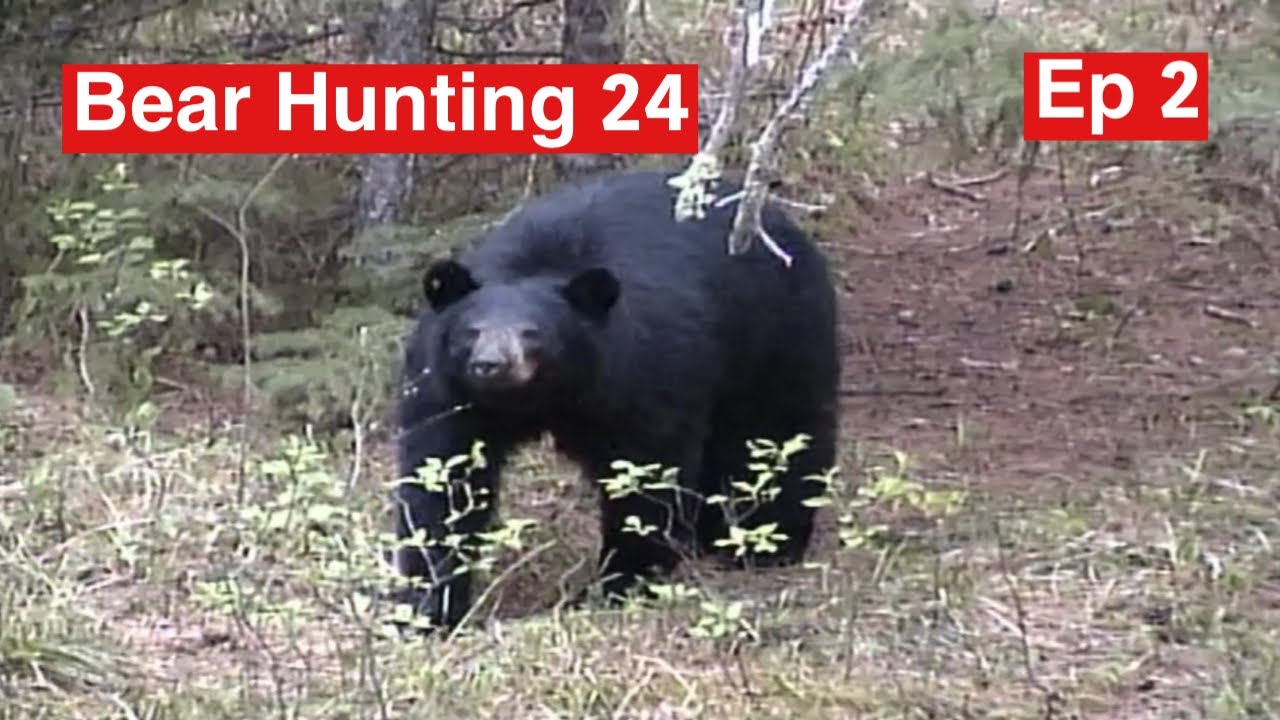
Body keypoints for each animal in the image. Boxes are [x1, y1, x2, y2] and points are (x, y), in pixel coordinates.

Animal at [390, 167, 841, 631]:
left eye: (533, 334)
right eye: (471, 332)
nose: (490, 365)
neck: (544, 396)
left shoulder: (642, 375)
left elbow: (645, 470)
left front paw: (623, 580)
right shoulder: (448, 393)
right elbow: (441, 480)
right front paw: (428, 606)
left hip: (776, 329)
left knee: (775, 428)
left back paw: (765, 542)